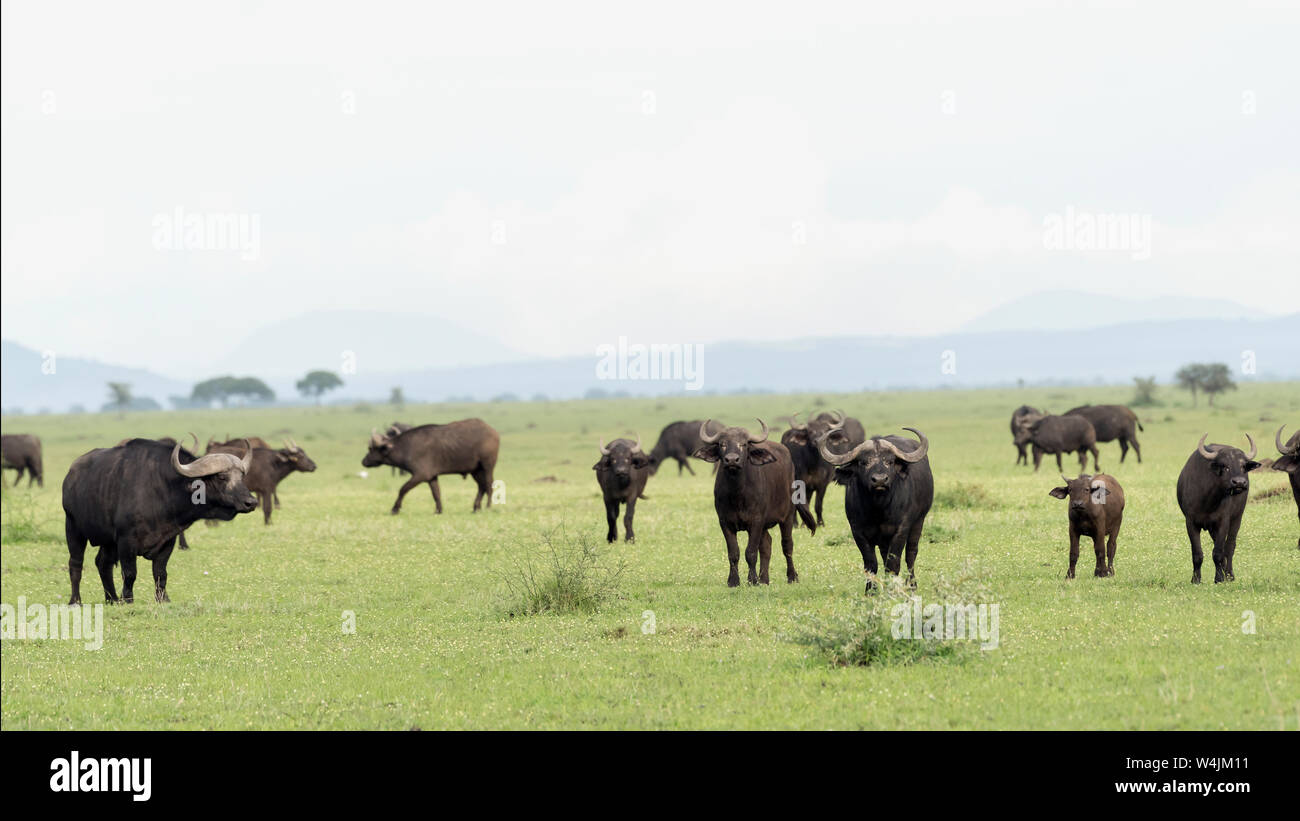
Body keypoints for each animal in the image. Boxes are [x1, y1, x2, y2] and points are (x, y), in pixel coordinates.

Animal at [62, 437, 257, 603]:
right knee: (76, 565)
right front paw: (128, 599)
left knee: (103, 563)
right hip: (73, 528)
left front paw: (163, 599)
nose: (251, 502)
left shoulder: (168, 540)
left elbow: (160, 573)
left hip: (108, 541)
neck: (163, 490)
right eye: (222, 477)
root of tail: (70, 476)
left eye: (241, 476)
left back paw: (112, 599)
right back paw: (76, 601)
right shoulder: (126, 541)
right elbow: (130, 573)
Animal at [362, 418, 500, 514]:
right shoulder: (431, 477)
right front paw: (438, 510)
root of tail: (493, 432)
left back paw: (488, 506)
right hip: (475, 471)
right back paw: (476, 508)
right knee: (481, 486)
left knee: (489, 485)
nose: (363, 461)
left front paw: (395, 509)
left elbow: (403, 489)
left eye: (371, 448)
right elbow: (436, 493)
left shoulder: (420, 475)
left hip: (487, 466)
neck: (406, 447)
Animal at [693, 420, 815, 587]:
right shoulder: (725, 522)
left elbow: (750, 552)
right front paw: (733, 581)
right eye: (722, 444)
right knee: (767, 545)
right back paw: (765, 579)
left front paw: (752, 580)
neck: (737, 494)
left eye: (743, 444)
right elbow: (734, 553)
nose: (732, 460)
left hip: (788, 516)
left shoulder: (756, 521)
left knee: (787, 545)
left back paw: (792, 576)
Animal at [819, 428, 933, 593]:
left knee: (911, 554)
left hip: (919, 521)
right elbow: (871, 563)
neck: (878, 509)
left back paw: (912, 585)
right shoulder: (858, 531)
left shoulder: (901, 530)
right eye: (863, 462)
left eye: (890, 461)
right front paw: (870, 591)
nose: (879, 480)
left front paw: (892, 589)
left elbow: (894, 563)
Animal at [1176, 433, 1260, 583]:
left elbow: (1218, 552)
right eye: (1225, 466)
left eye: (1243, 466)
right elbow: (1197, 553)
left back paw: (1229, 575)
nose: (1239, 482)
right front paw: (1195, 579)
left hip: (1237, 517)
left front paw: (1219, 578)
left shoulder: (1223, 521)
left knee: (1229, 546)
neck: (1208, 500)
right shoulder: (1190, 522)